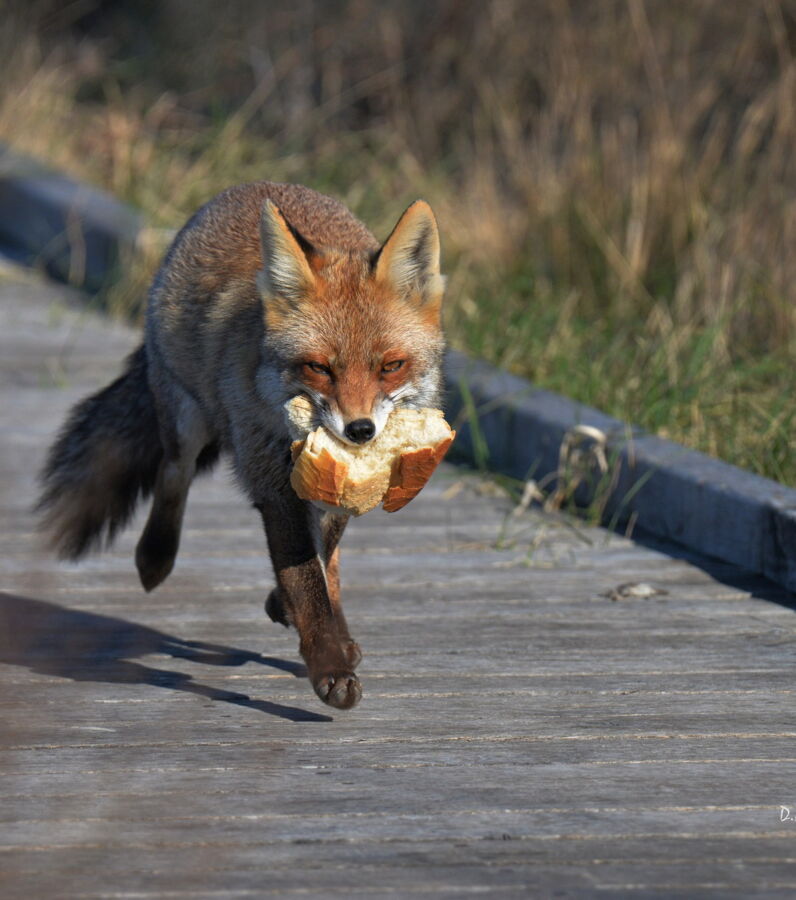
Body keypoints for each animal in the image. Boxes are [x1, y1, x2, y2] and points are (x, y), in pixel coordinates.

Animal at [36, 182, 446, 710]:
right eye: (319, 368)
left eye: (390, 366)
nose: (359, 431)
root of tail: (256, 186)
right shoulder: (272, 481)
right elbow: (305, 578)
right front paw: (328, 665)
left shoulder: (336, 480)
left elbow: (324, 554)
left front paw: (308, 617)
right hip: (185, 417)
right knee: (173, 472)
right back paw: (155, 557)